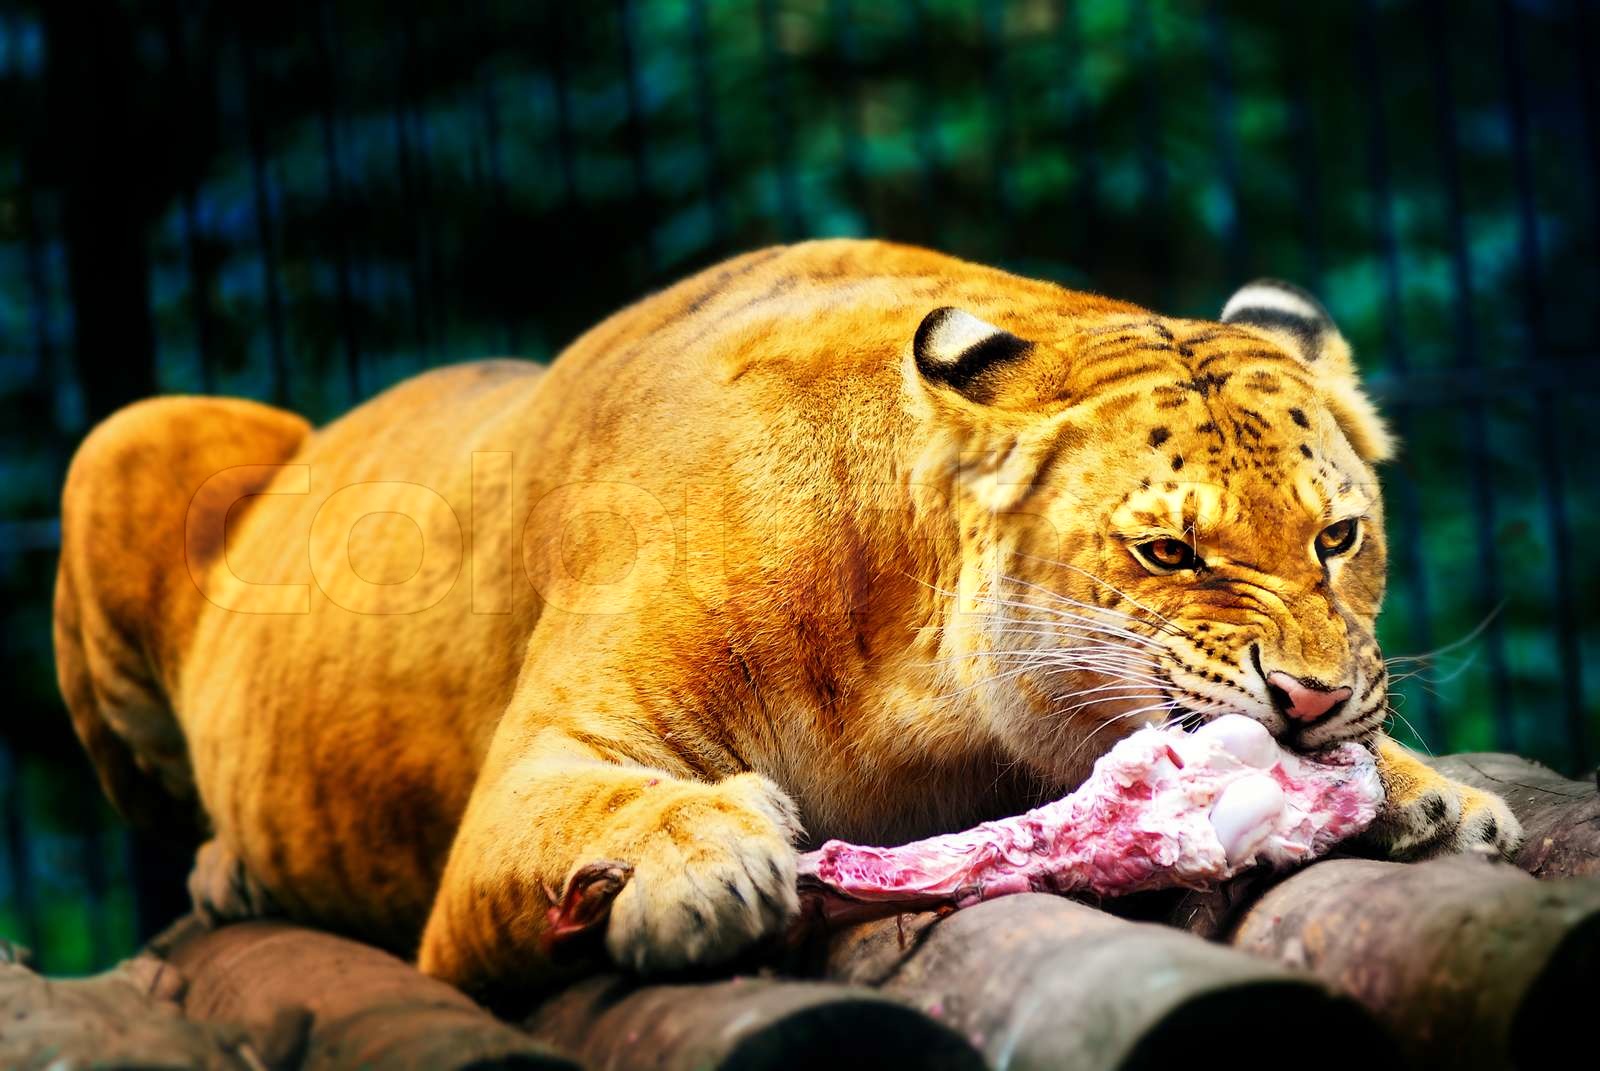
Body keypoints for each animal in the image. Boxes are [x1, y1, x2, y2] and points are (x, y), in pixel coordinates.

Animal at [53, 239, 1520, 999]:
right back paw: (225, 875)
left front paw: (1428, 791)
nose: (1313, 702)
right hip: (126, 439)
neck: (926, 702)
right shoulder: (525, 788)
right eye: (1168, 549)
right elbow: (612, 802)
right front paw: (703, 867)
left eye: (1336, 538)